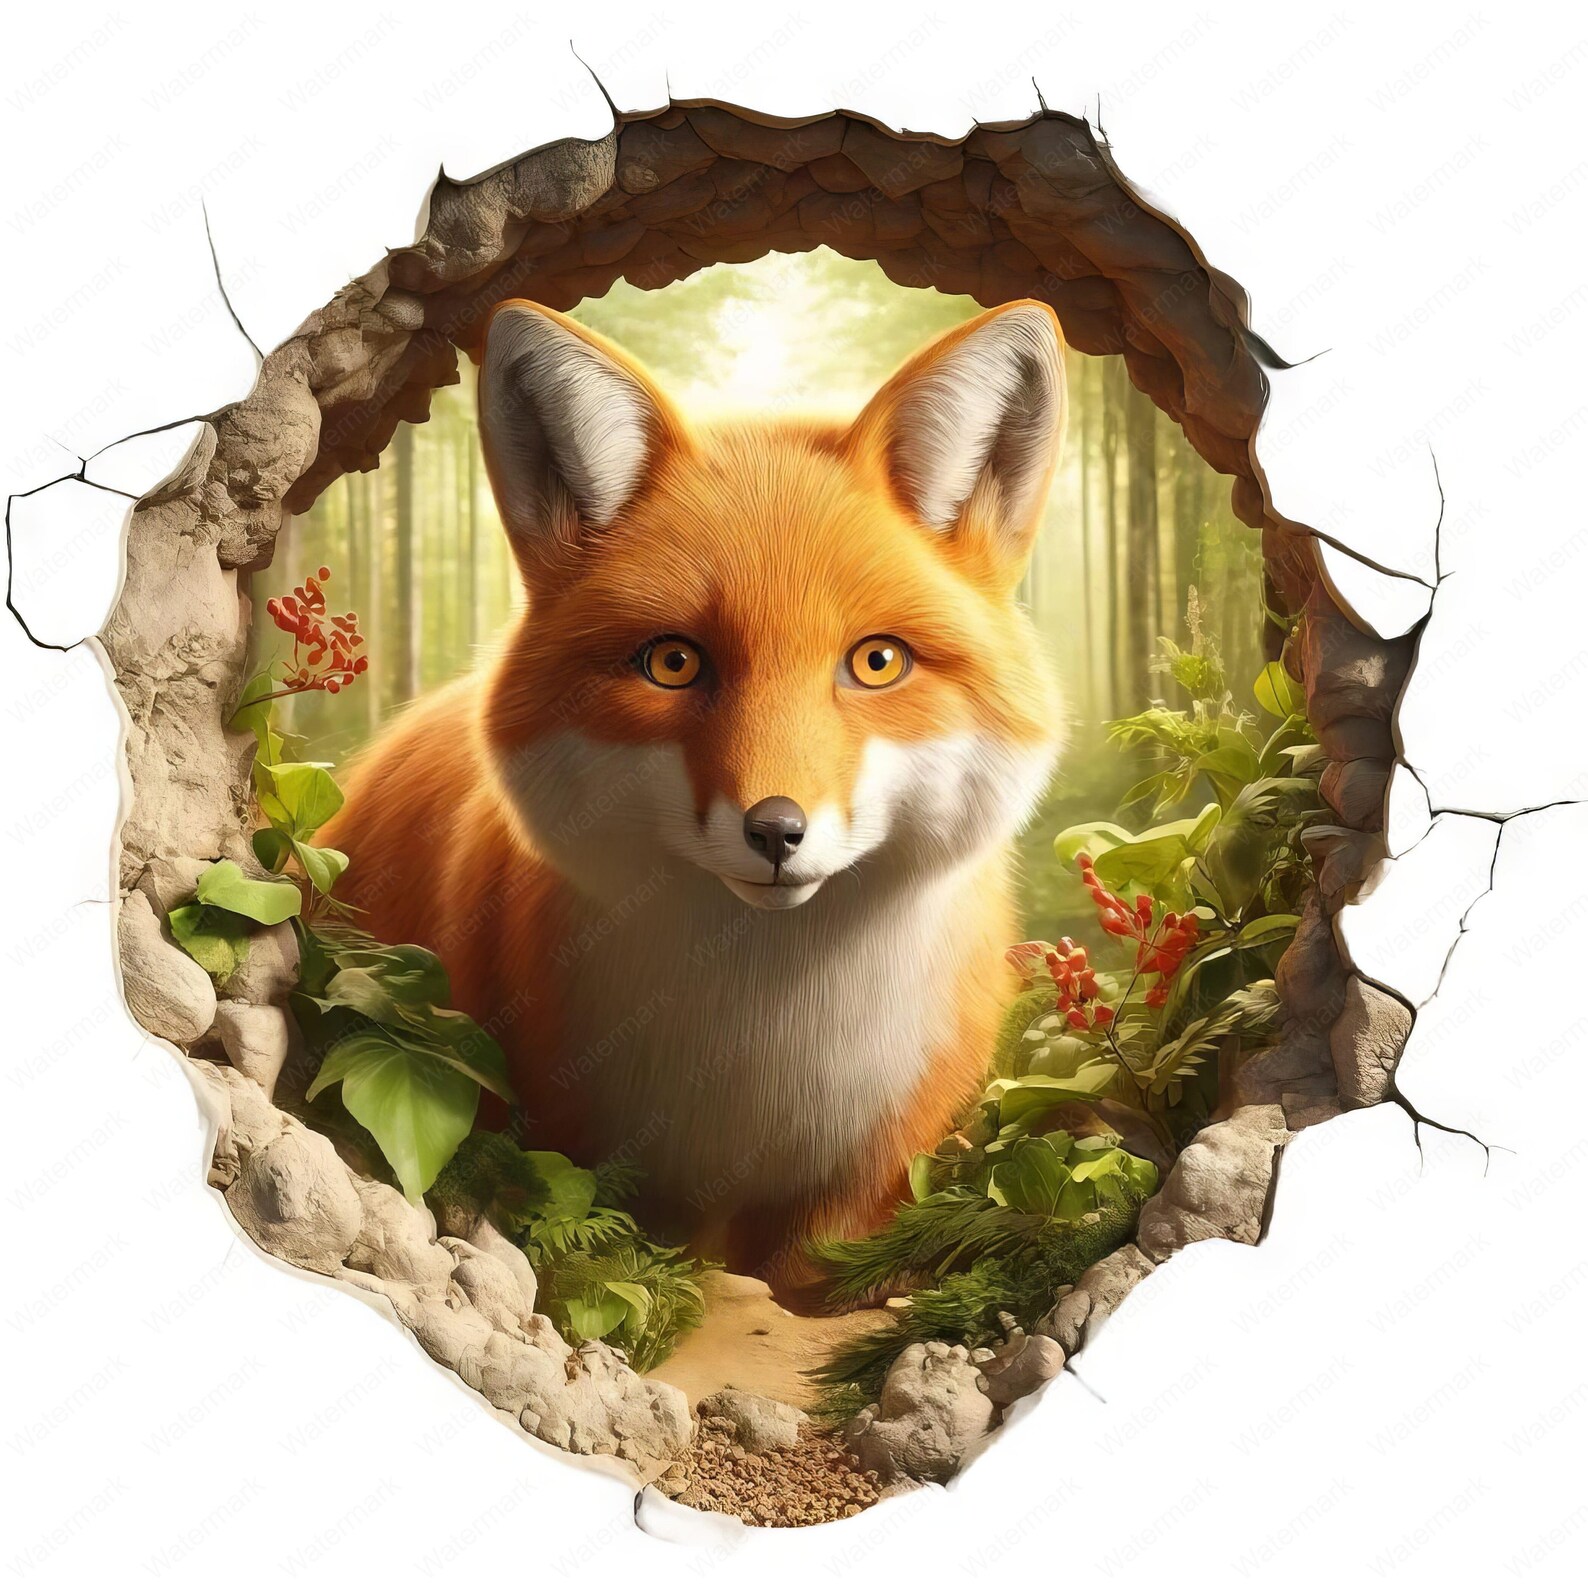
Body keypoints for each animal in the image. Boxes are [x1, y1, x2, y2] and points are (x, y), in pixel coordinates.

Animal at [318, 295, 1067, 1300]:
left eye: (877, 661)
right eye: (674, 663)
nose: (777, 831)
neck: (763, 1055)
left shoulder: (870, 1178)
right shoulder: (590, 1147)